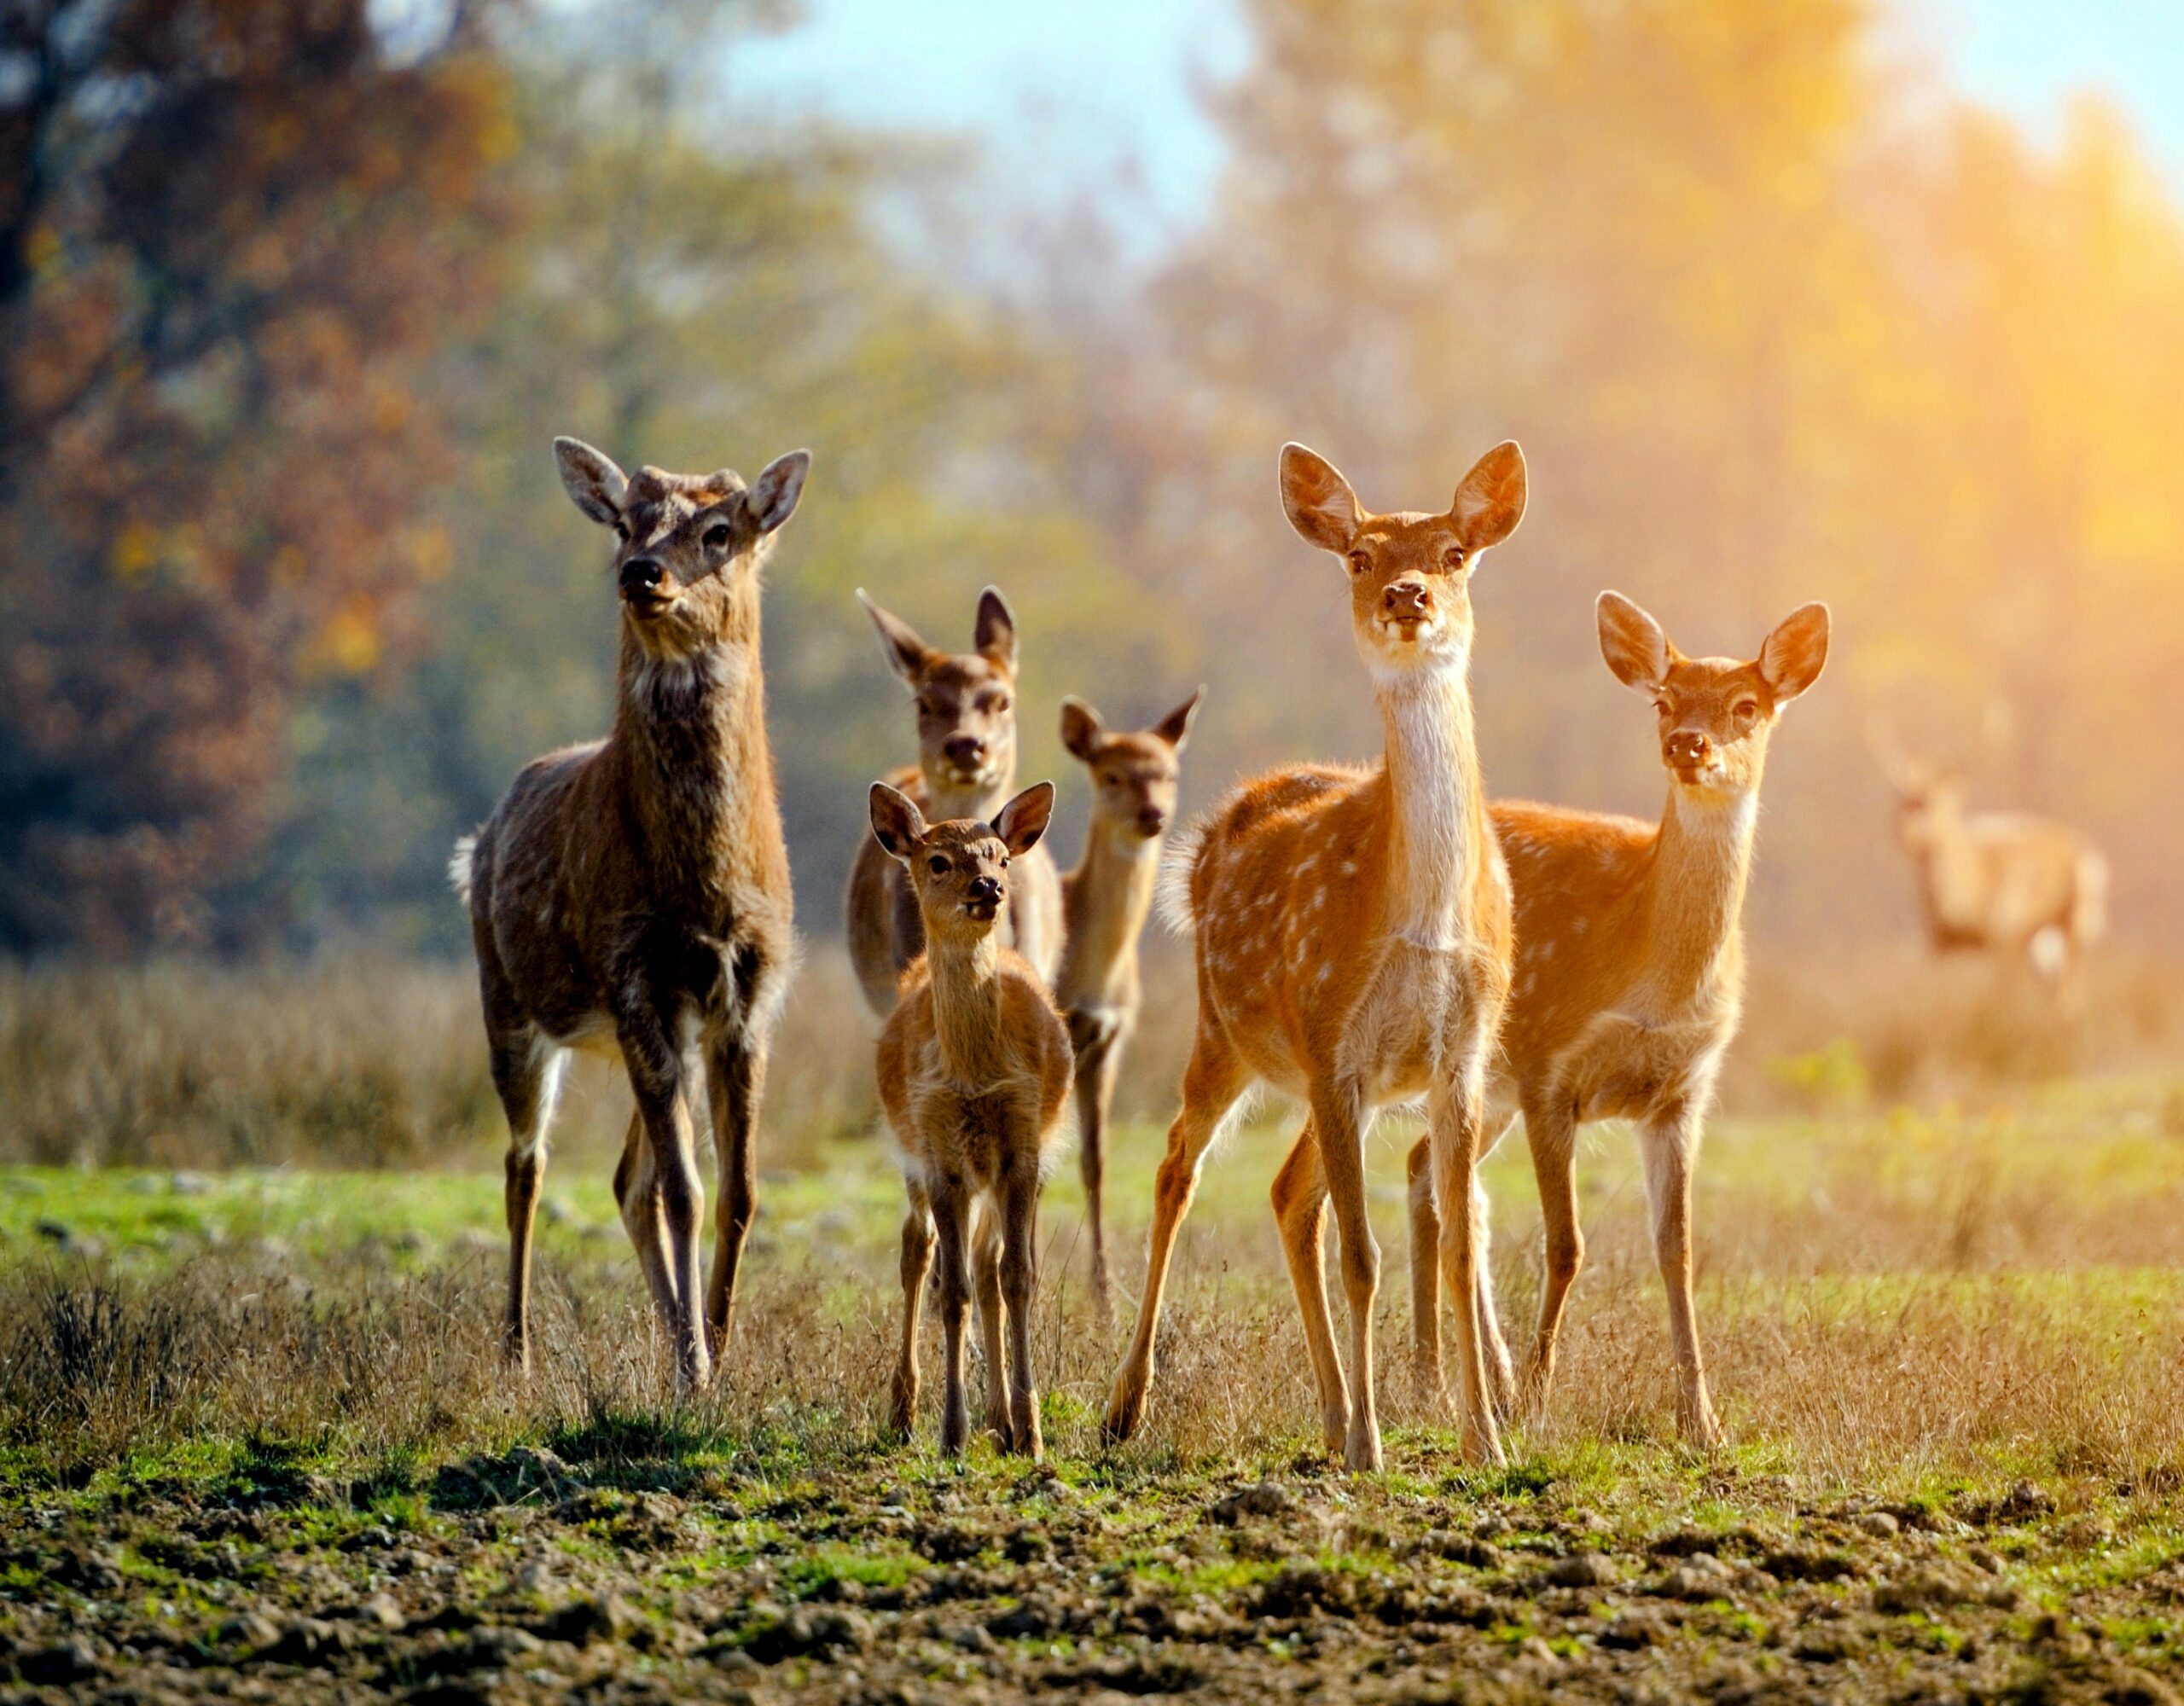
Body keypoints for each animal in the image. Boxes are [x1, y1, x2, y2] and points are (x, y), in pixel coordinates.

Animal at [452, 436, 808, 1392]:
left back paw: (668, 1329)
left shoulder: (748, 996)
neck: (706, 891)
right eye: (623, 522)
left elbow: (738, 1188)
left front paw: (715, 1345)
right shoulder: (635, 972)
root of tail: (481, 837)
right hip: (509, 997)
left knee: (623, 1180)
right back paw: (516, 1348)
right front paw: (697, 1368)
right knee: (526, 1164)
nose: (642, 572)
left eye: (722, 531)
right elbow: (686, 1188)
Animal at [870, 780, 1073, 1459]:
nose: (987, 886)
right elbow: (950, 1290)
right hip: (913, 1157)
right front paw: (951, 1435)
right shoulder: (940, 1155)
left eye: (1001, 856)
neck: (975, 1075)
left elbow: (1018, 1278)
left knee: (987, 1269)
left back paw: (1001, 1421)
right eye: (937, 860)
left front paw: (1031, 1432)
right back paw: (903, 1412)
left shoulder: (1022, 1147)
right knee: (917, 1253)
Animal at [1103, 439, 1528, 1473]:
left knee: (1288, 1192)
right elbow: (1364, 1254)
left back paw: (1331, 1414)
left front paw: (1485, 1442)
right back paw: (1125, 1407)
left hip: (1323, 1075)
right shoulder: (1333, 1033)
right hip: (1227, 1031)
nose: (1408, 595)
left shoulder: (1456, 1056)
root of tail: (1212, 828)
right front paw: (1376, 1445)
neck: (1423, 918)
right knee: (1177, 1168)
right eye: (1359, 555)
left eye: (1455, 552)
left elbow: (1457, 1243)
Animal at [1404, 592, 1831, 1448]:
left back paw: (1462, 1382)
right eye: (1663, 701)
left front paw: (1703, 1419)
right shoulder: (1548, 1068)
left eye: (1748, 705)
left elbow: (1679, 1252)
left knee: (1425, 1174)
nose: (1688, 742)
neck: (1651, 978)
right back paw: (1452, 1385)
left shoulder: (1681, 1096)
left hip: (1485, 1090)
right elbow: (1567, 1246)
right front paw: (1539, 1401)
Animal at [1868, 727, 2107, 991]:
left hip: (2073, 925)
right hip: (2042, 940)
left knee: (2070, 986)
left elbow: (2002, 993)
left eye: (1933, 802)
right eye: (1899, 800)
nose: (1904, 833)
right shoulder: (1939, 943)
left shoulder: (2004, 935)